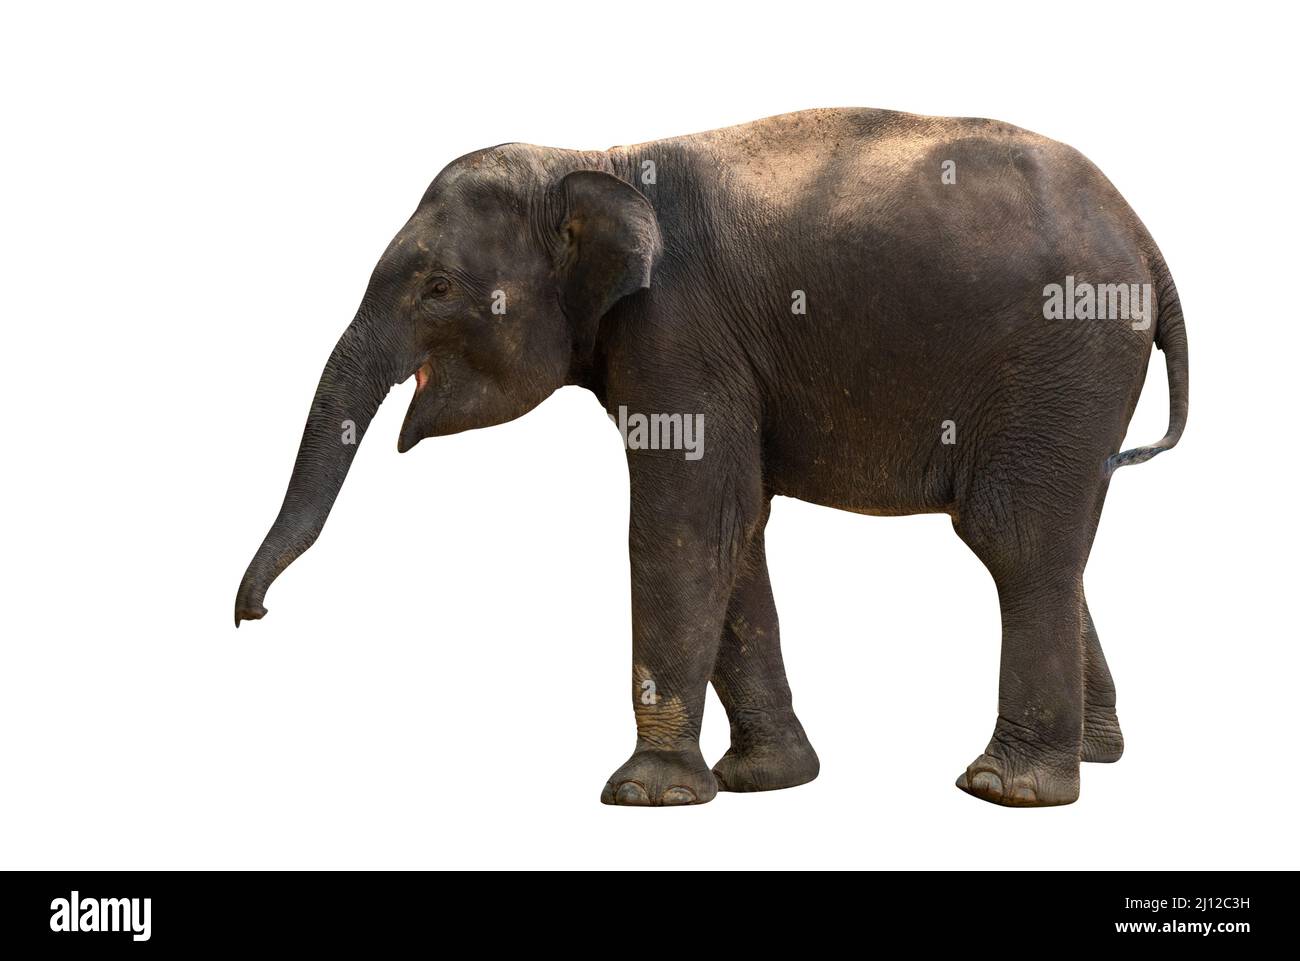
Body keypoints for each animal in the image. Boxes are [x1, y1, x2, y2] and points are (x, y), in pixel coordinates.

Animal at [235, 108, 1188, 808]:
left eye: (437, 289)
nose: (253, 616)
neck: (591, 161)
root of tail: (1147, 241)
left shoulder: (679, 331)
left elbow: (684, 522)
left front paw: (644, 796)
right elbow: (736, 524)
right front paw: (764, 781)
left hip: (1065, 360)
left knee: (1012, 538)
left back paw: (1005, 788)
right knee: (1052, 544)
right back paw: (1094, 756)